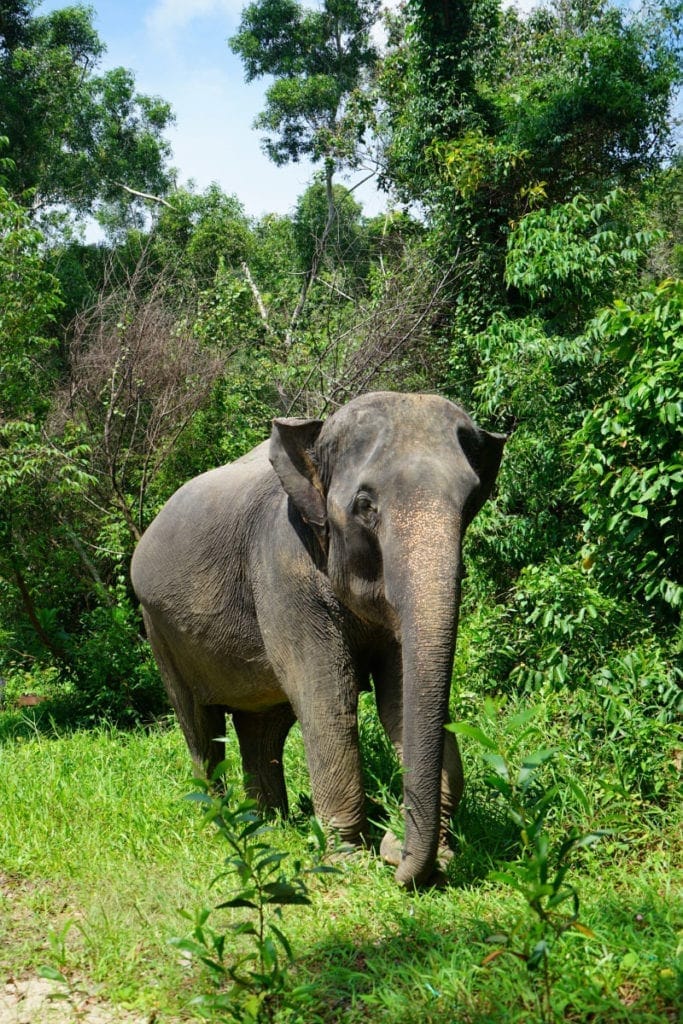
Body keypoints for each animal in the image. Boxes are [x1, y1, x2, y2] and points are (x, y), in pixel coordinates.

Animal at [130, 391, 505, 886]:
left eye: (470, 502)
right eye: (365, 505)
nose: (395, 851)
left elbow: (398, 700)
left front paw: (436, 858)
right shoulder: (282, 568)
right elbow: (329, 700)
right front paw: (348, 863)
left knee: (263, 728)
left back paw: (268, 822)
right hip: (159, 628)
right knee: (199, 725)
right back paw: (223, 822)